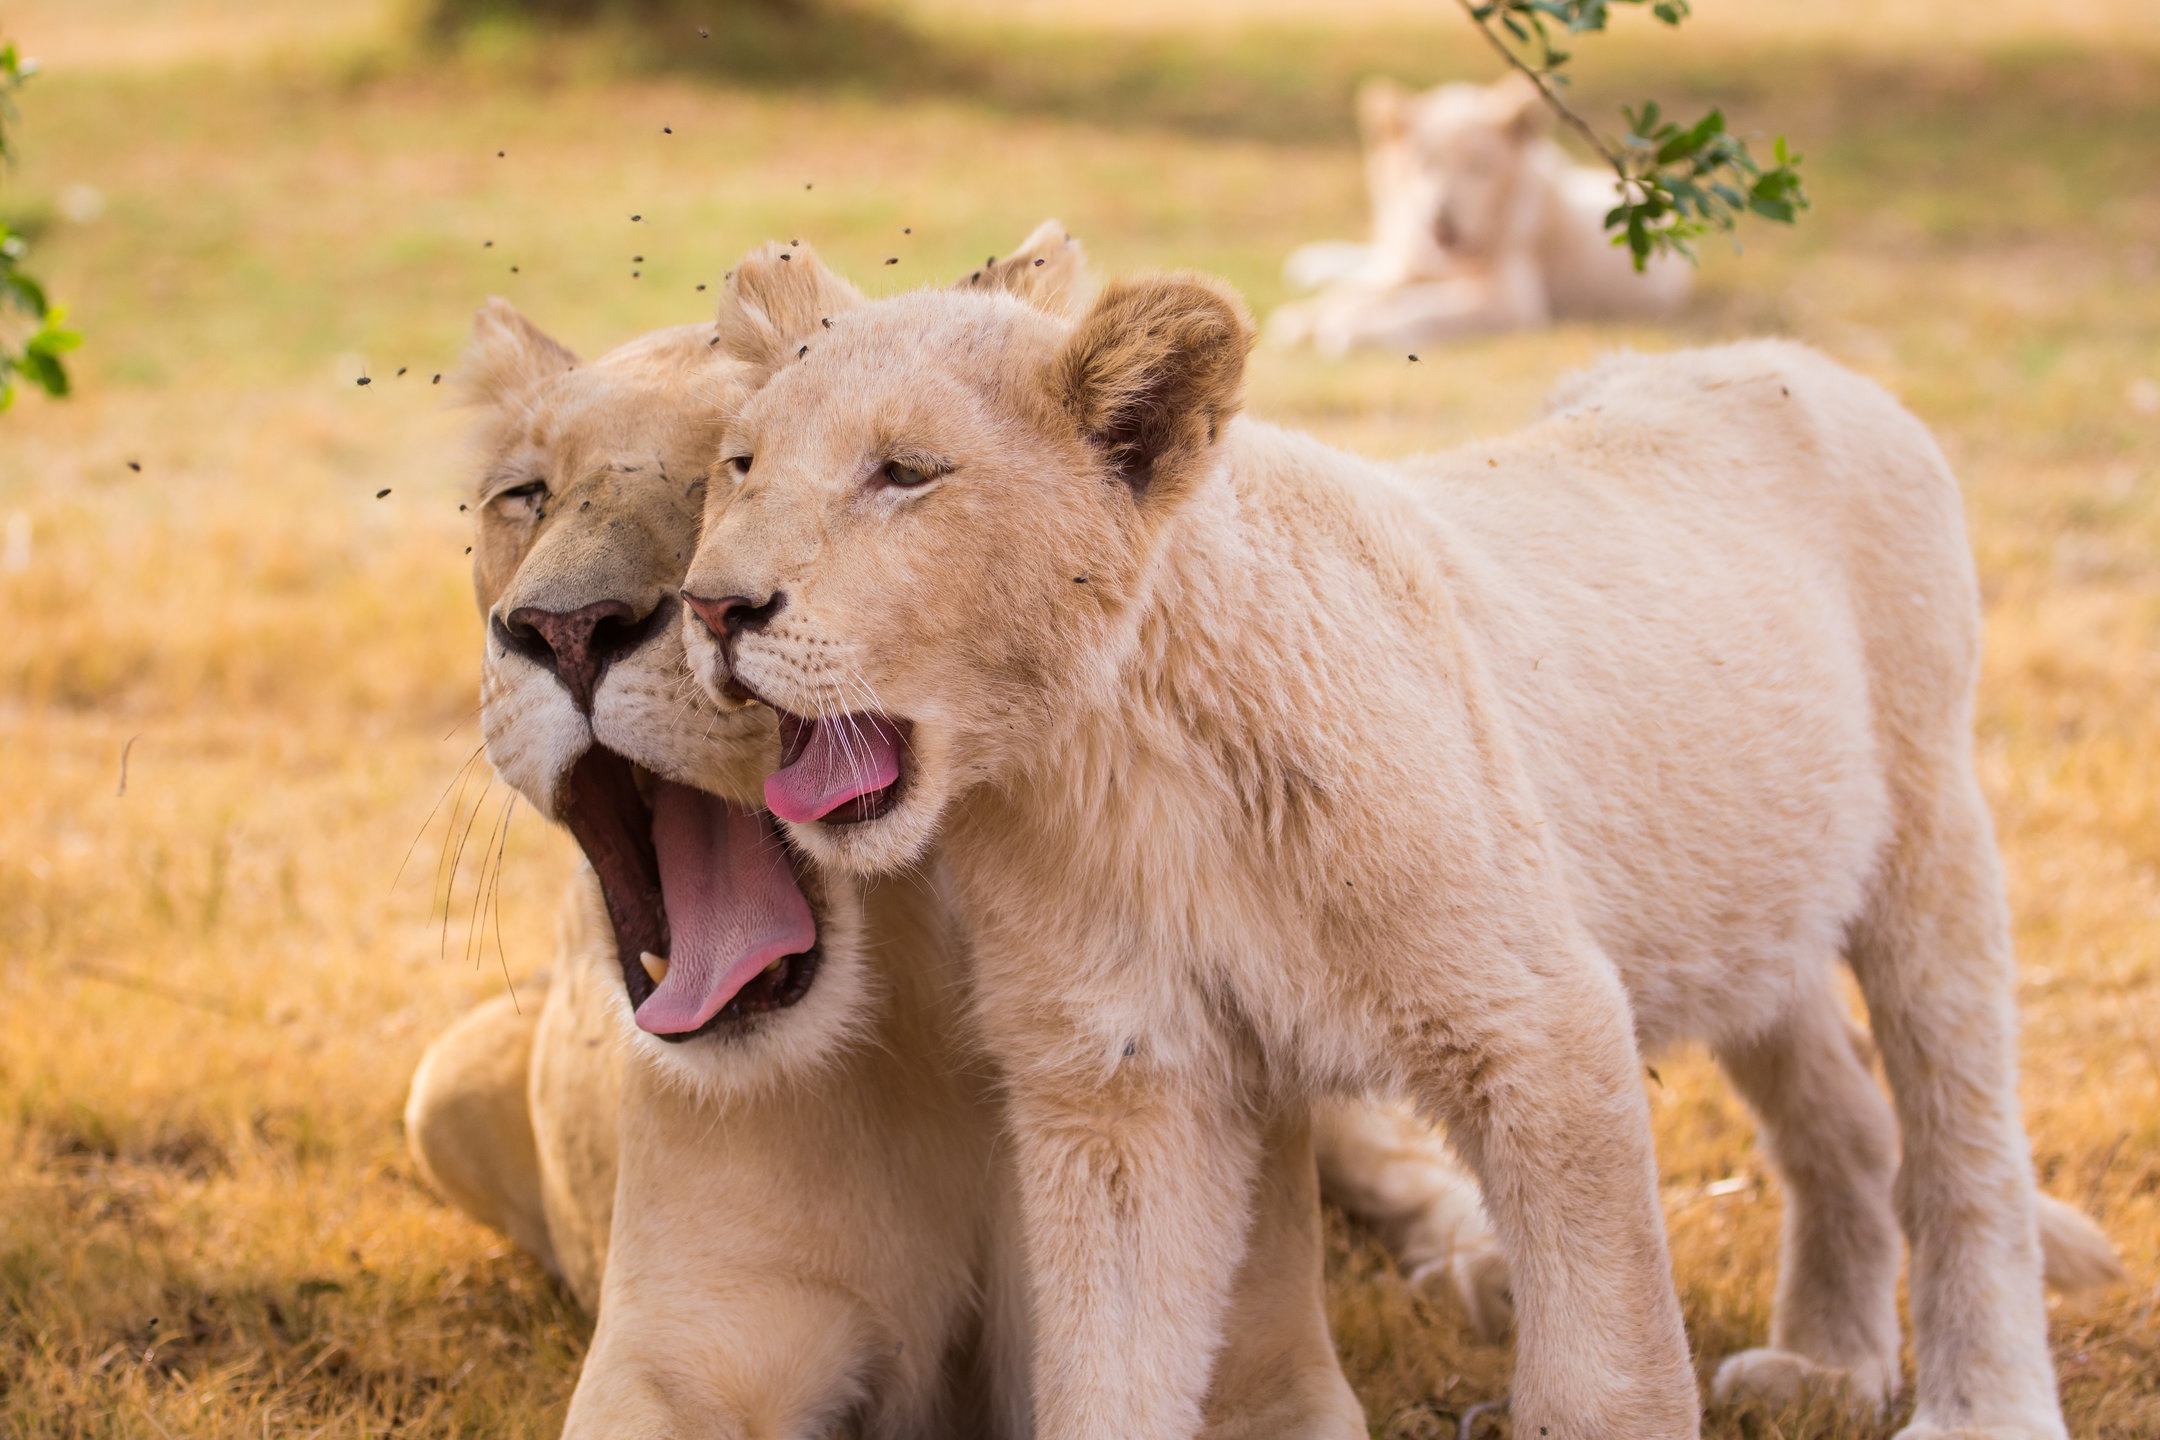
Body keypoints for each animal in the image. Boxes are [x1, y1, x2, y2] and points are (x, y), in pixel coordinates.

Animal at [403, 229, 1511, 1439]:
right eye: (525, 495)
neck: (933, 1008)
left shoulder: (1261, 1373)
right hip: (442, 1085)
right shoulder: (676, 1359)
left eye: (717, 476)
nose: (562, 630)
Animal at [678, 248, 2120, 1440]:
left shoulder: (1541, 1022)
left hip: (1932, 838)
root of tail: (1797, 356)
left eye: (906, 474)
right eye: (741, 466)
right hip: (1748, 904)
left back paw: (1979, 1410)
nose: (711, 606)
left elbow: (1606, 1378)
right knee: (1844, 1117)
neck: (1111, 761)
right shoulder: (1125, 1084)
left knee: (1962, 1139)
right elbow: (1107, 1369)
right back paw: (1826, 1364)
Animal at [1269, 74, 1690, 355]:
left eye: (1479, 167)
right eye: (1426, 164)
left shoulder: (1510, 303)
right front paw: (1307, 319)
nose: (1439, 218)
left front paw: (1352, 329)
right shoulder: (1407, 270)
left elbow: (1424, 306)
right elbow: (1358, 293)